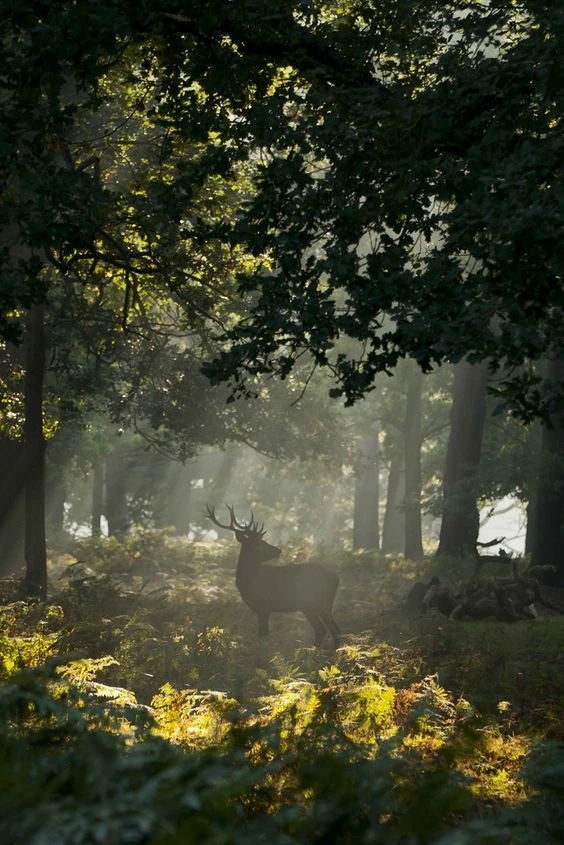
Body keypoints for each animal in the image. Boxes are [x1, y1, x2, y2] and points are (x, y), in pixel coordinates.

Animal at [206, 505, 341, 647]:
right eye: (259, 544)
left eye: (263, 541)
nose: (278, 550)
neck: (249, 583)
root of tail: (336, 577)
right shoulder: (258, 608)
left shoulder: (265, 606)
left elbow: (263, 635)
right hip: (318, 606)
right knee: (328, 629)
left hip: (318, 603)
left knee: (330, 629)